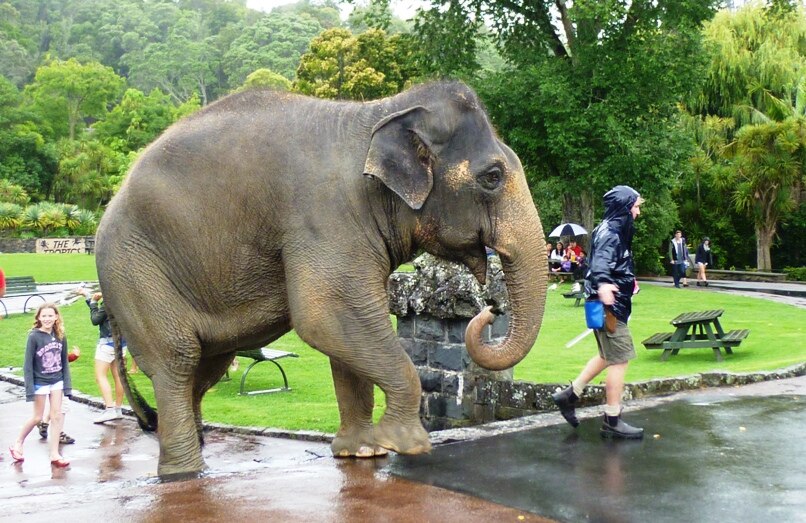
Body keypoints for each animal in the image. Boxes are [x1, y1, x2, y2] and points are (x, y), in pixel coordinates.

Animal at [95, 81, 547, 477]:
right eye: (492, 177)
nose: (489, 308)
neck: (381, 112)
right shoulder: (326, 219)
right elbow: (327, 316)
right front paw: (404, 443)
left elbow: (348, 331)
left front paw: (361, 452)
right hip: (134, 268)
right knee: (177, 358)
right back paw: (184, 473)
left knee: (206, 364)